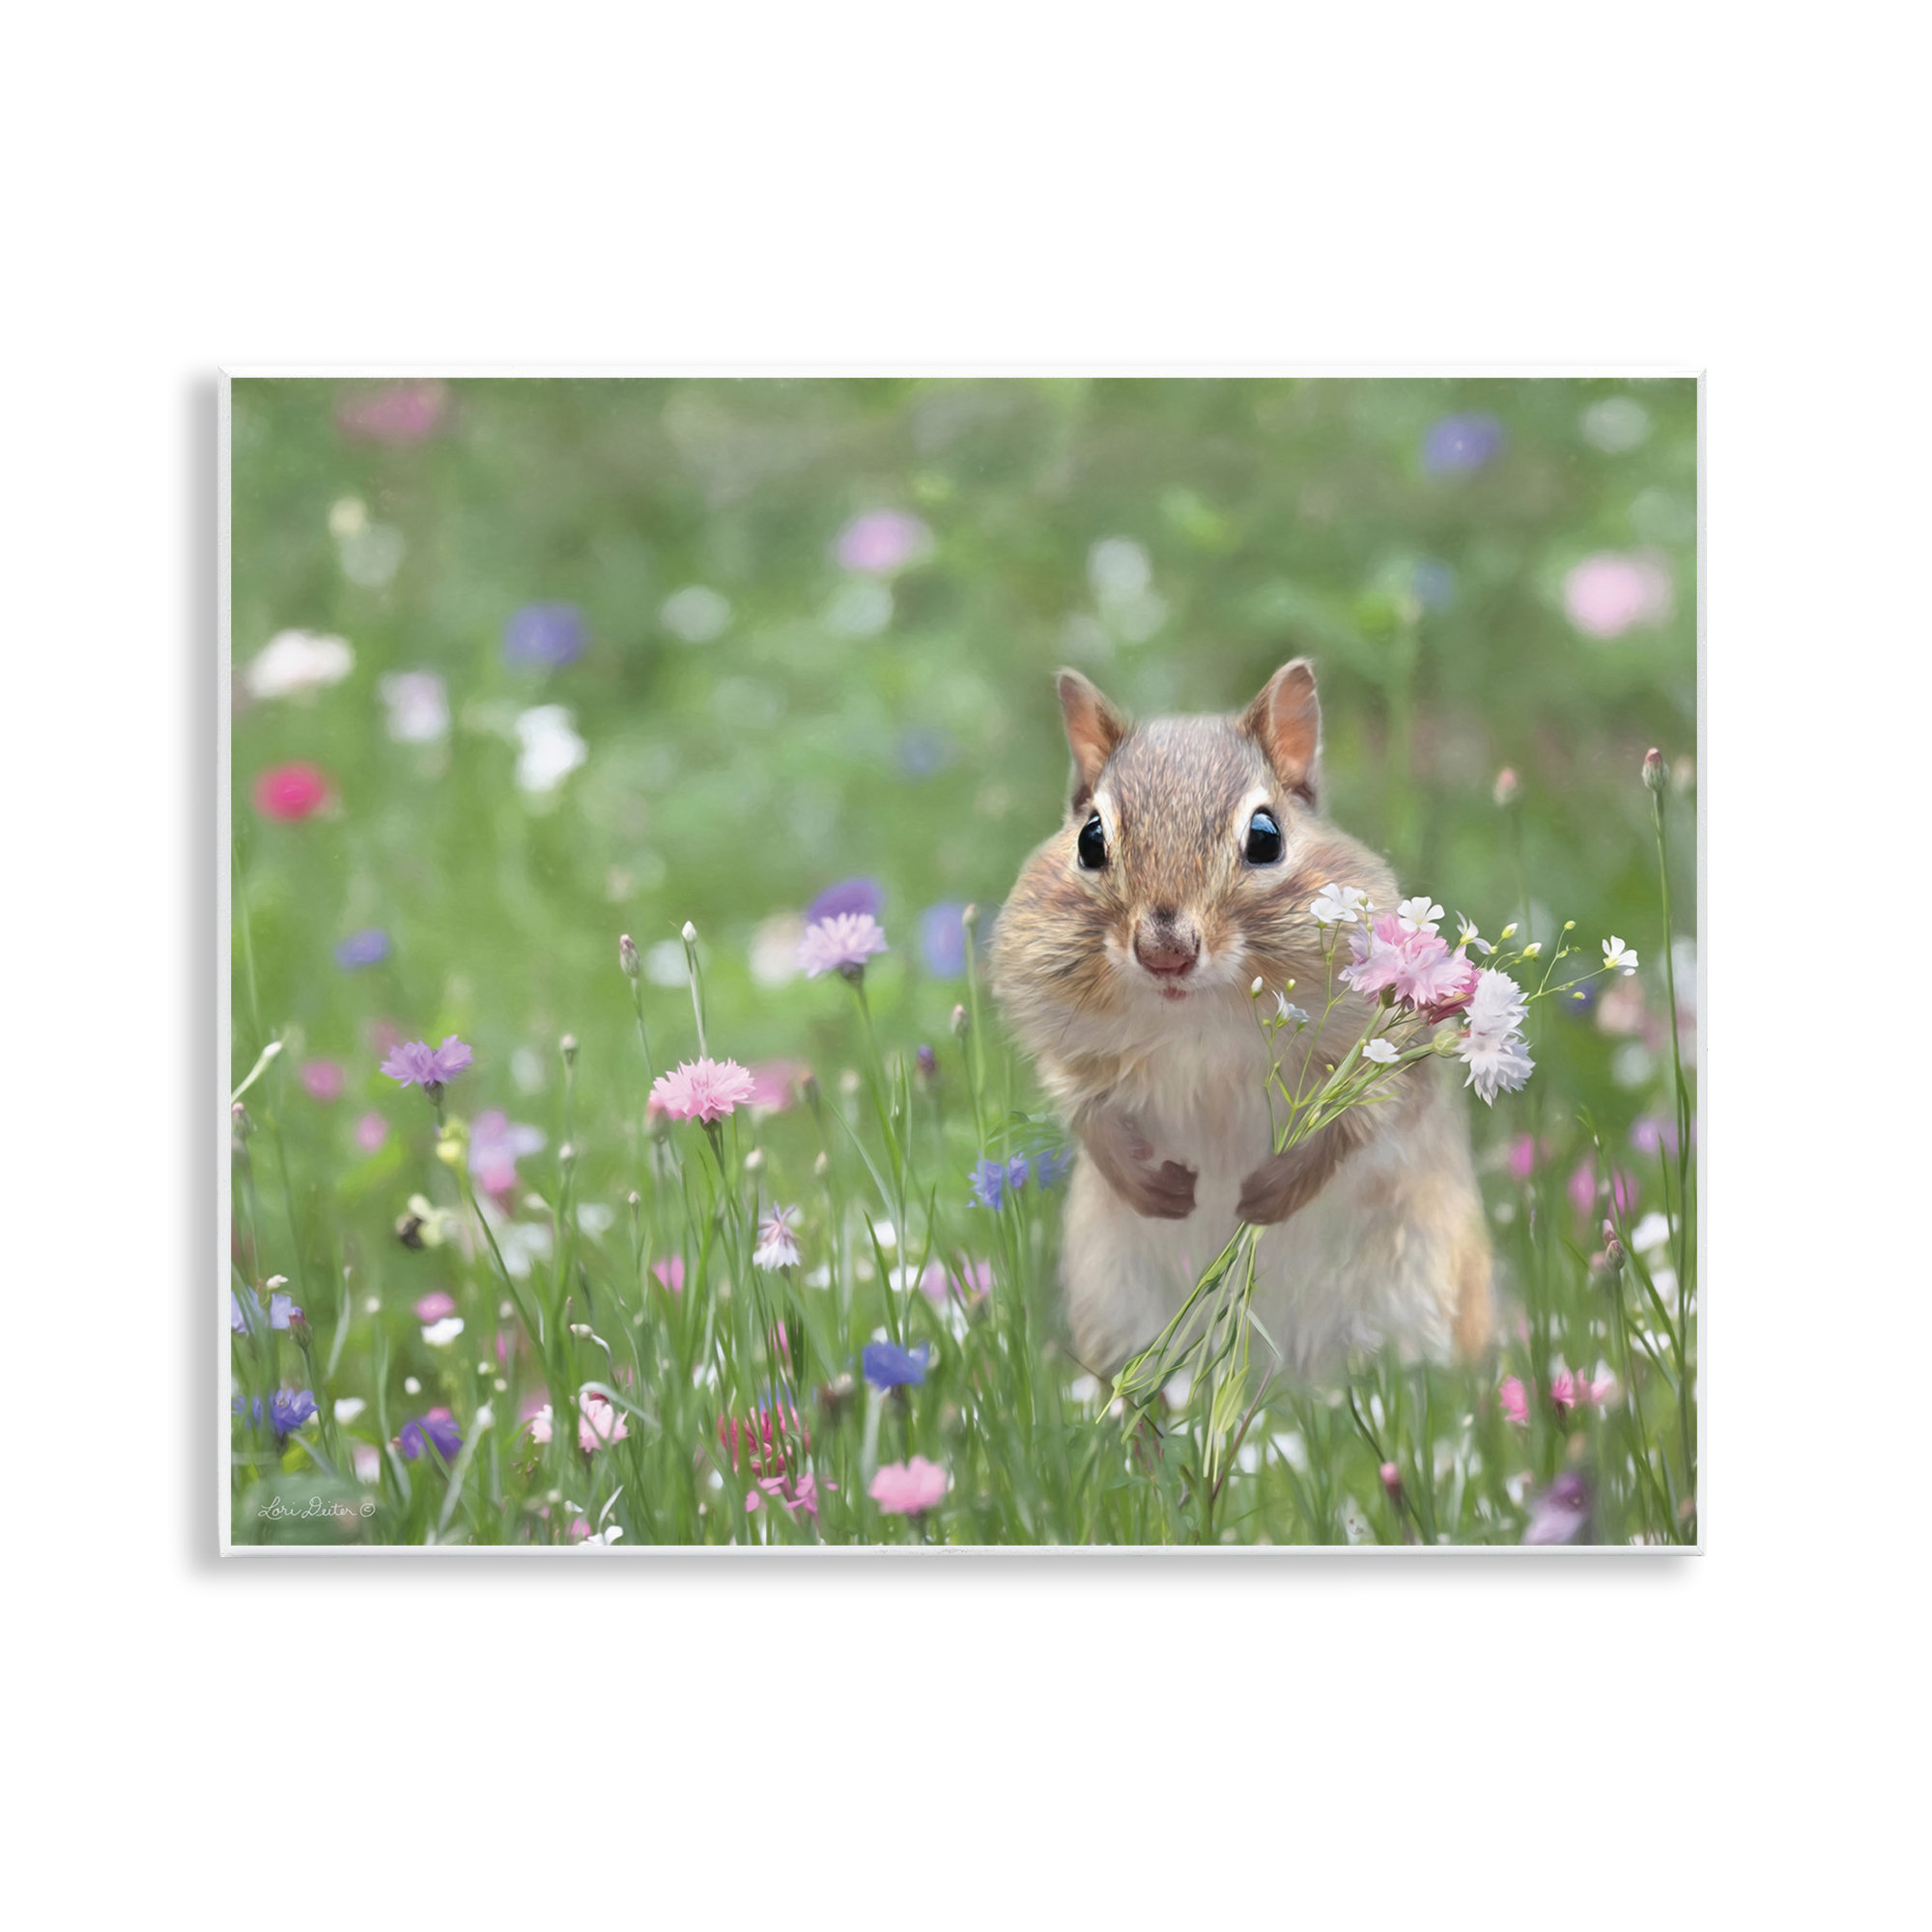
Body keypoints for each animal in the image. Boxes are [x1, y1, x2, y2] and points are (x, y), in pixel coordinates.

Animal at [987, 659, 1493, 1378]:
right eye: (1089, 839)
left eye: (1265, 837)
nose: (1165, 952)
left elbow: (1359, 1123)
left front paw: (1268, 1194)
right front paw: (1153, 1189)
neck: (1196, 1016)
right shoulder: (1069, 1049)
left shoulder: (1384, 1053)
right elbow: (1087, 1113)